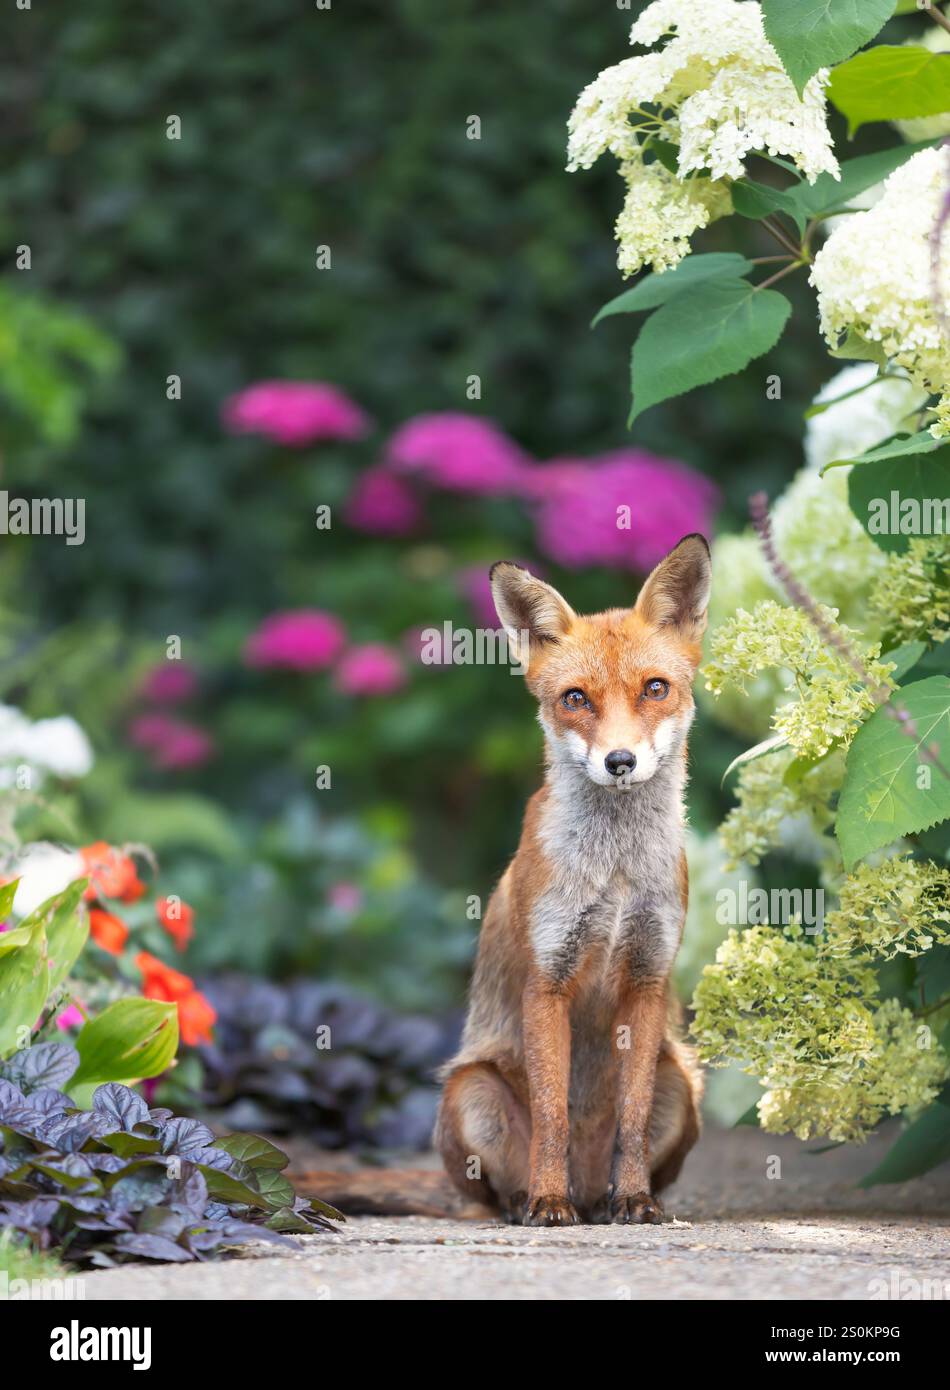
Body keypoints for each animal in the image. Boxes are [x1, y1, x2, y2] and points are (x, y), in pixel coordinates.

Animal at [299, 534, 709, 1225]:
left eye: (655, 688)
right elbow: (551, 1115)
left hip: (680, 1079)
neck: (615, 874)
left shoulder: (647, 982)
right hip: (472, 1090)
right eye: (576, 698)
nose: (620, 761)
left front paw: (636, 1200)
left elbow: (629, 1119)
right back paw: (529, 1203)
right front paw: (547, 1201)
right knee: (488, 1196)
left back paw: (608, 1202)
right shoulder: (547, 980)